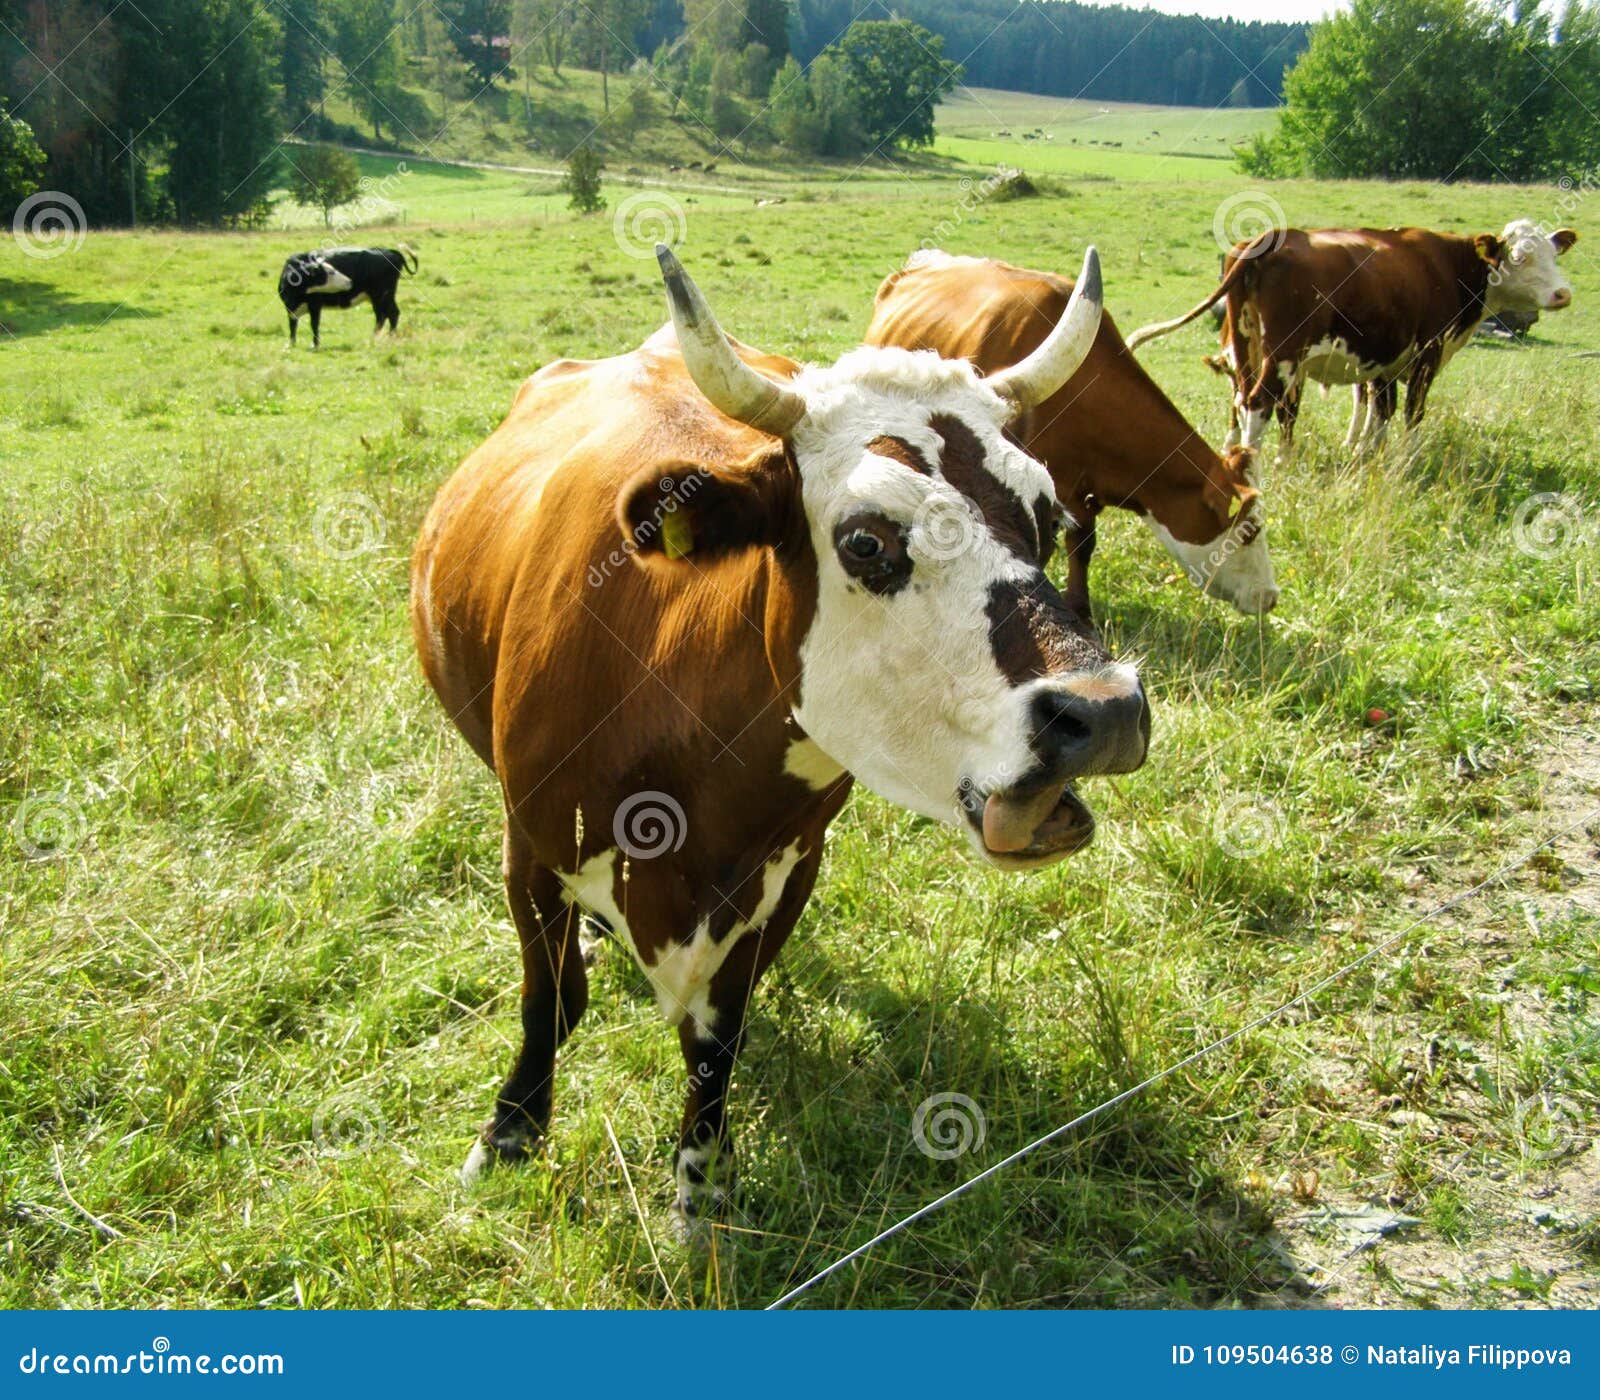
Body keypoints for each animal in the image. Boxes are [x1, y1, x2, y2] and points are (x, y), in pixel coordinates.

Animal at [278, 244, 418, 348]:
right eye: (330, 272)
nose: (349, 281)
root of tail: (389, 251)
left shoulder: (315, 306)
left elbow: (314, 325)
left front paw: (315, 345)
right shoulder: (290, 309)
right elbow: (292, 326)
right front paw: (291, 344)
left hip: (382, 295)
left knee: (390, 314)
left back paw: (386, 337)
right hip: (381, 297)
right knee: (384, 315)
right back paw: (378, 337)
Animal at [410, 245, 1150, 1227]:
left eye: (1043, 511)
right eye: (867, 542)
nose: (1105, 711)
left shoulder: (790, 868)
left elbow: (718, 1034)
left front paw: (701, 1185)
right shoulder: (528, 845)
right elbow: (549, 999)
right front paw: (512, 1132)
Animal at [1127, 220, 1577, 457]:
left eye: (1554, 255)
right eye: (1519, 257)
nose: (1562, 294)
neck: (1450, 266)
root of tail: (1273, 236)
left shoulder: (1386, 360)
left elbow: (1382, 408)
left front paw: (1368, 455)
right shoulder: (1427, 353)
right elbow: (1413, 410)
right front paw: (1408, 460)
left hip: (1244, 347)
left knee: (1239, 401)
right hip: (1283, 354)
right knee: (1258, 404)